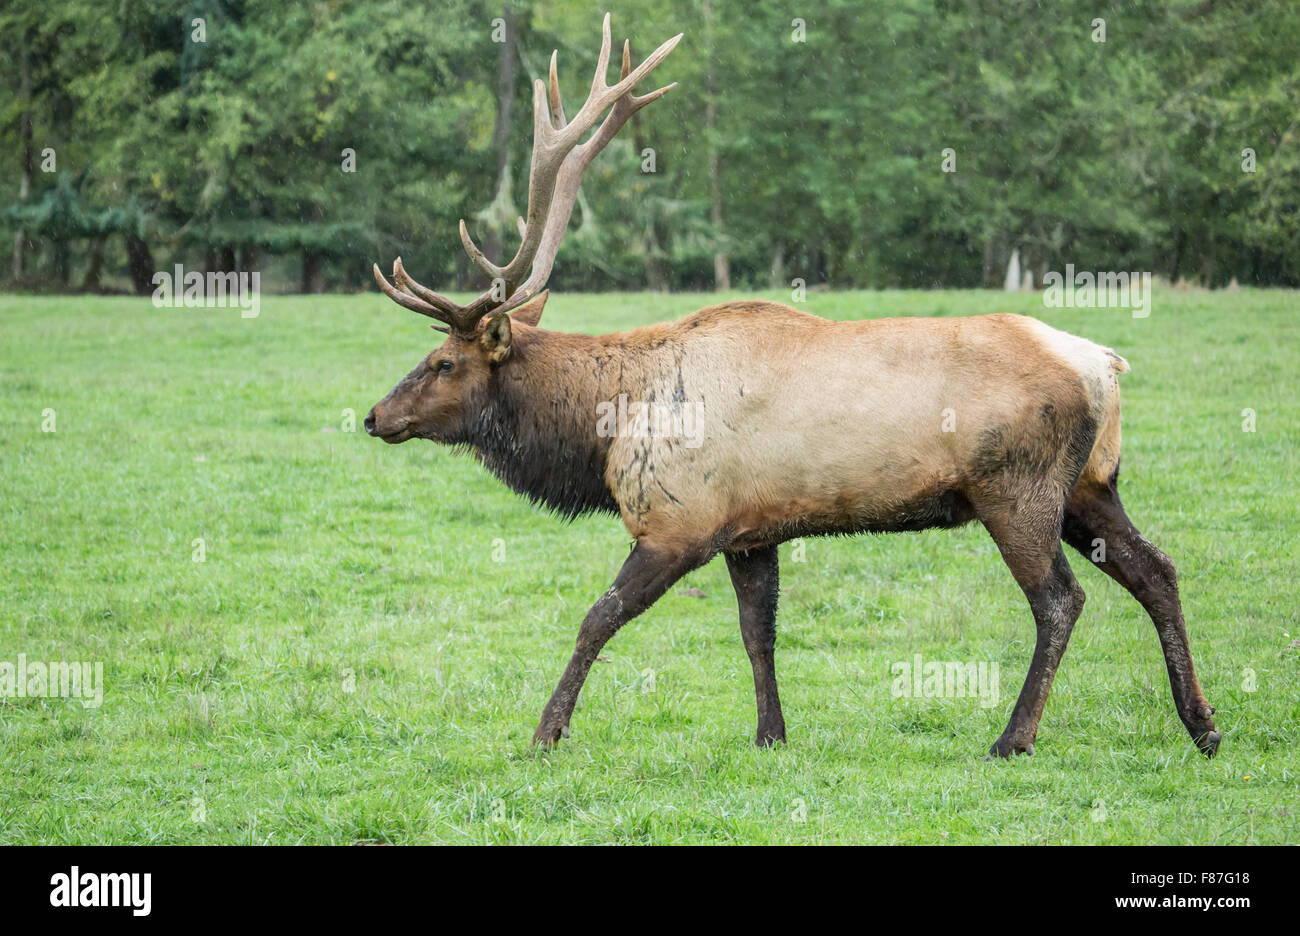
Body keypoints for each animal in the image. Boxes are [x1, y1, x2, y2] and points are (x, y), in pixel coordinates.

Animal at [364, 14, 1219, 760]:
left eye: (443, 363)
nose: (375, 416)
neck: (605, 429)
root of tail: (1105, 364)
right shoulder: (751, 531)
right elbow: (758, 633)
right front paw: (771, 734)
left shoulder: (678, 521)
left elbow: (597, 618)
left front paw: (546, 731)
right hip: (1093, 484)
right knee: (1157, 570)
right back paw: (1203, 725)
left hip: (1018, 486)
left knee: (1060, 600)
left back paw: (1014, 737)